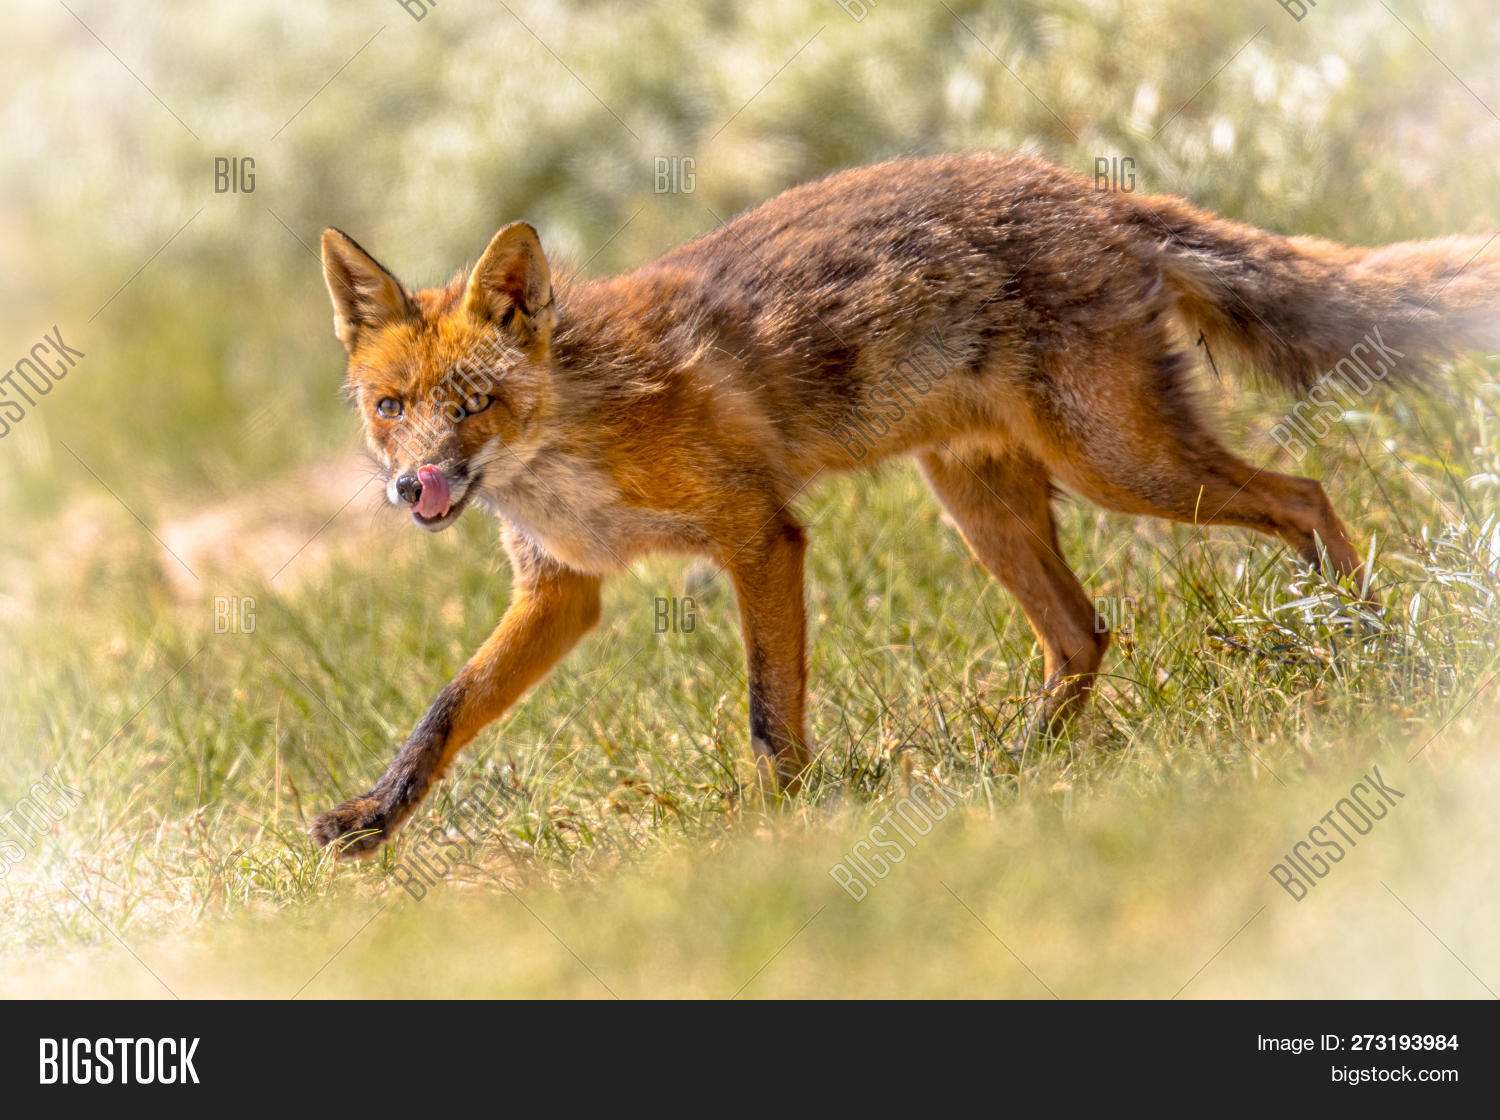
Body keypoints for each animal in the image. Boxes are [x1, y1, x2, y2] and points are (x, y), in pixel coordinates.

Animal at [310, 150, 1499, 854]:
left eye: (475, 402)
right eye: (390, 406)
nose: (413, 486)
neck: (566, 445)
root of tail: (1088, 187)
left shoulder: (759, 533)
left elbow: (768, 710)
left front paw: (777, 828)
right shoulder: (563, 591)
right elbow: (446, 710)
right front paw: (374, 817)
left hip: (1125, 466)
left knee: (1304, 496)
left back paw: (1371, 646)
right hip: (987, 499)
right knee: (1085, 632)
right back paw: (1018, 768)